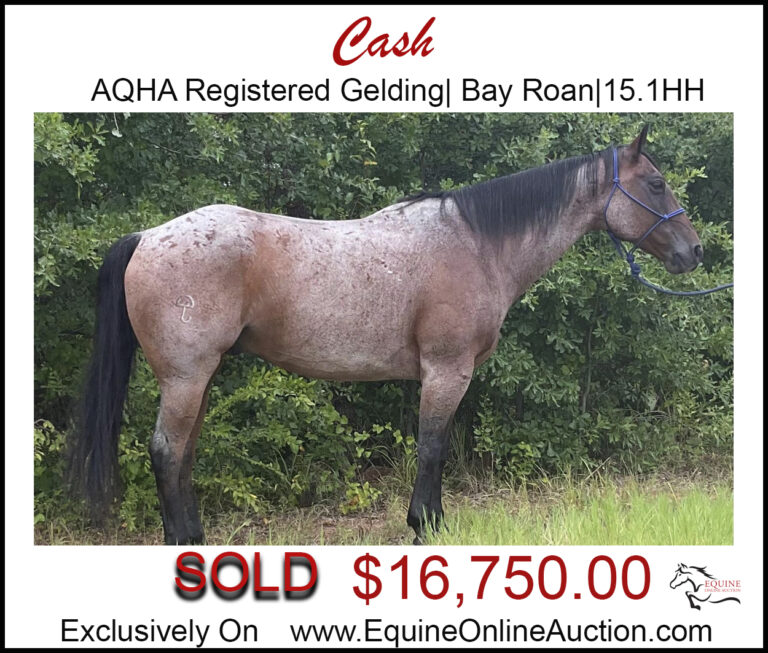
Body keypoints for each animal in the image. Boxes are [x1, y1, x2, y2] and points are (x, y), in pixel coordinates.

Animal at [71, 126, 705, 544]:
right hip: (186, 376)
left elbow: (435, 447)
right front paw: (426, 526)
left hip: (199, 378)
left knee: (183, 455)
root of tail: (148, 236)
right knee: (166, 450)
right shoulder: (447, 371)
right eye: (655, 183)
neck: (475, 244)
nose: (695, 251)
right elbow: (433, 446)